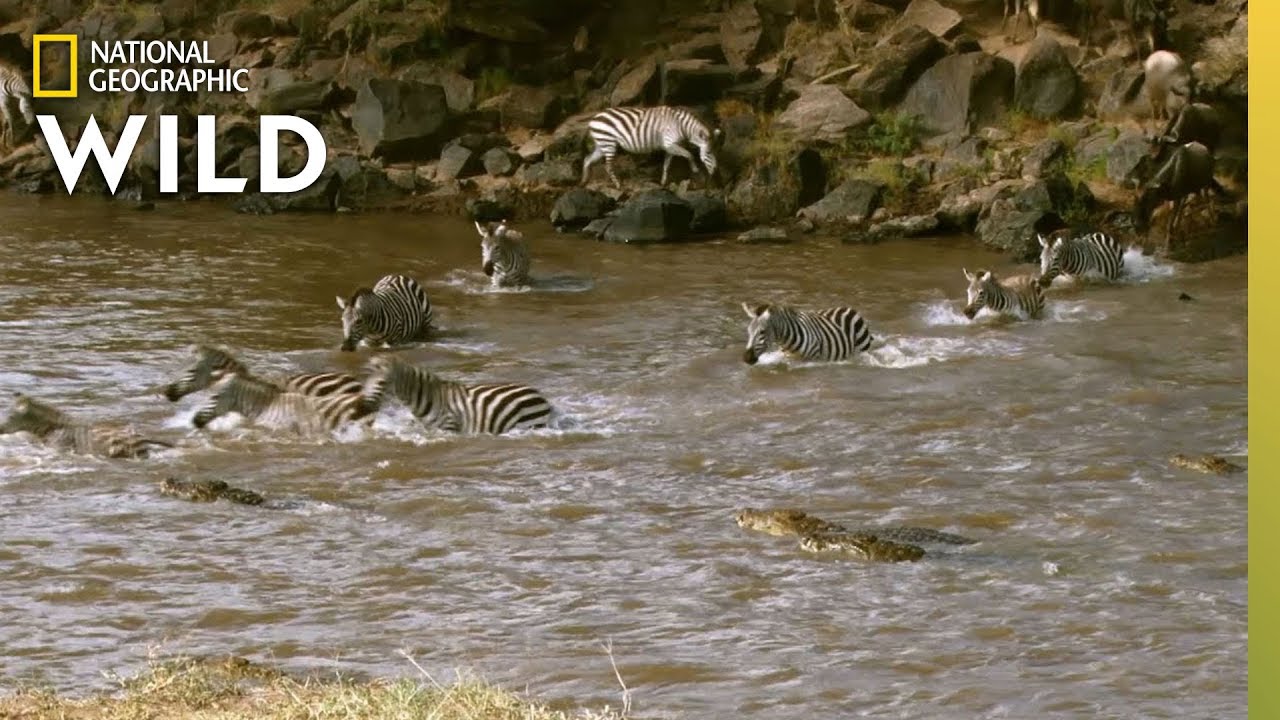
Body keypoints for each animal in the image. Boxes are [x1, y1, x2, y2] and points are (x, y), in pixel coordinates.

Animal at [361, 355, 553, 435]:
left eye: (382, 383)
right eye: (364, 378)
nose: (365, 405)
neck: (429, 399)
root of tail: (536, 392)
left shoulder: (450, 428)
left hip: (530, 425)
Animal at [581, 106, 722, 189]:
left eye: (716, 151)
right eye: (709, 152)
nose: (715, 171)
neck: (681, 126)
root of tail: (593, 119)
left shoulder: (669, 147)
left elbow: (667, 165)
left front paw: (663, 183)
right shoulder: (670, 143)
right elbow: (689, 154)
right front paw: (695, 169)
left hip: (601, 145)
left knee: (587, 160)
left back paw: (584, 181)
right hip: (608, 143)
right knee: (608, 166)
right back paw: (618, 185)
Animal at [741, 303, 875, 365]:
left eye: (762, 332)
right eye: (748, 331)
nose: (746, 358)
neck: (787, 341)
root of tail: (849, 308)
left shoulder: (811, 359)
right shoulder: (788, 357)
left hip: (862, 350)